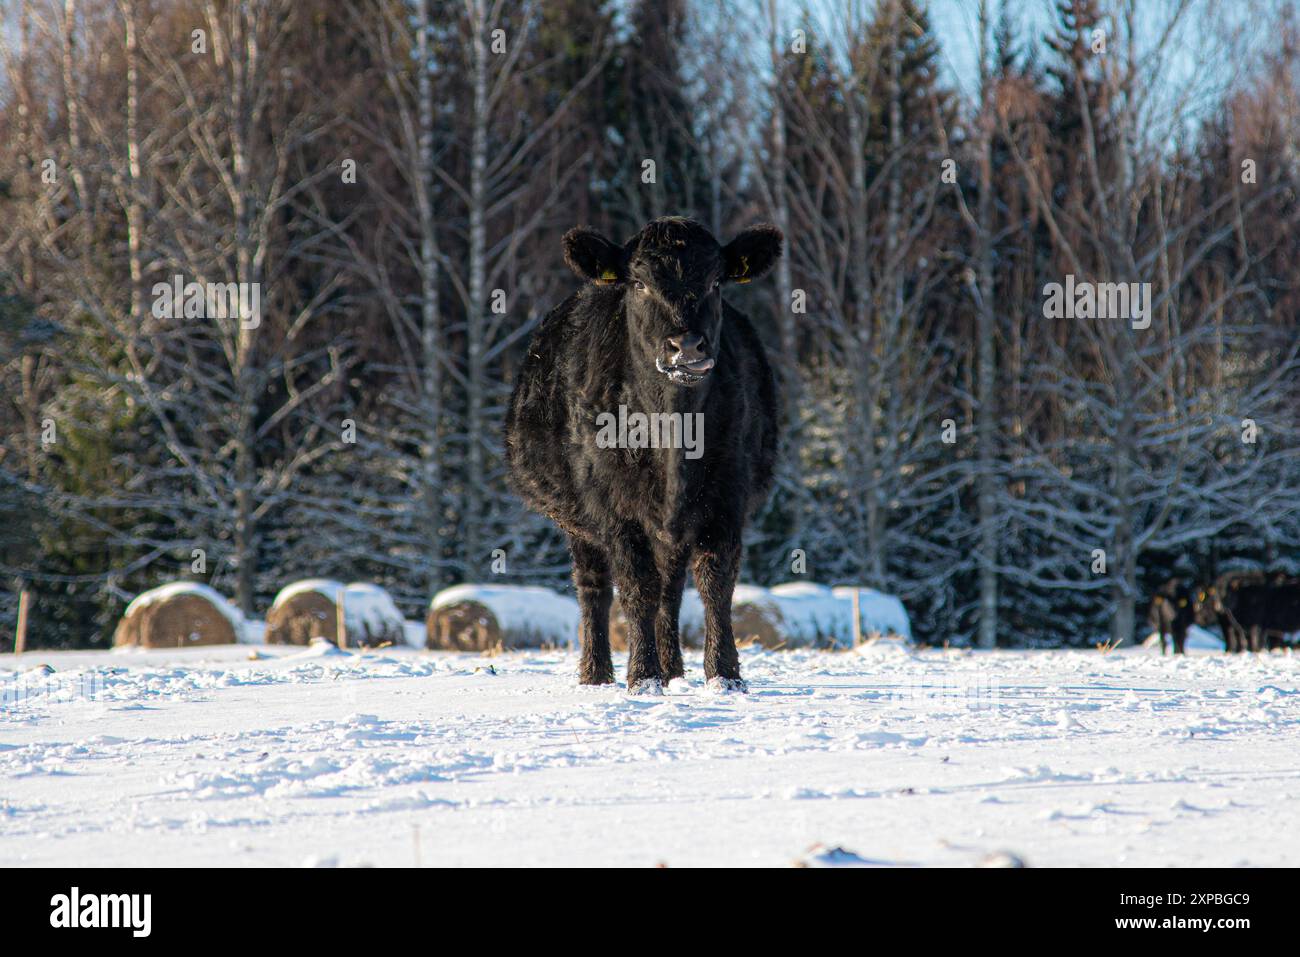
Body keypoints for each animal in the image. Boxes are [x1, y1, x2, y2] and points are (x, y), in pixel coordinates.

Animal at [504, 216, 782, 694]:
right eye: (639, 283)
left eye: (716, 282)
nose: (686, 346)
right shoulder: (615, 507)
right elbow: (636, 586)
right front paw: (643, 677)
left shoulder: (729, 497)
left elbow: (715, 582)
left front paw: (724, 676)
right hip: (579, 523)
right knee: (594, 589)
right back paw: (597, 674)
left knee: (670, 589)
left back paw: (673, 669)